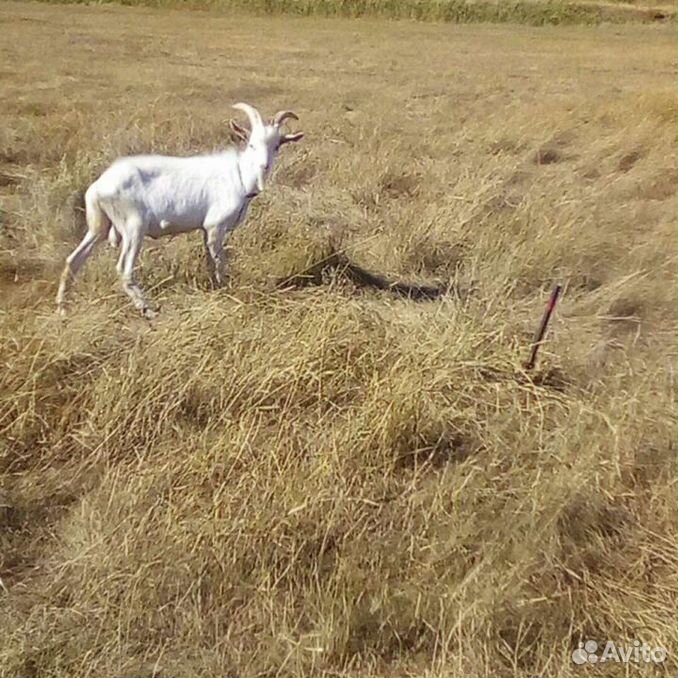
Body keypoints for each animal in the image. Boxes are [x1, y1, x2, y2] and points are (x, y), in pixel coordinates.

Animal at [54, 102, 304, 320]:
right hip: (133, 226)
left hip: (99, 225)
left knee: (73, 260)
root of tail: (98, 187)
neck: (239, 175)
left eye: (277, 145)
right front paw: (225, 288)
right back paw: (147, 309)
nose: (264, 166)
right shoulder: (216, 225)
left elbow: (210, 260)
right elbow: (220, 261)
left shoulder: (206, 230)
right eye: (251, 144)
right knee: (123, 269)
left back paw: (63, 308)